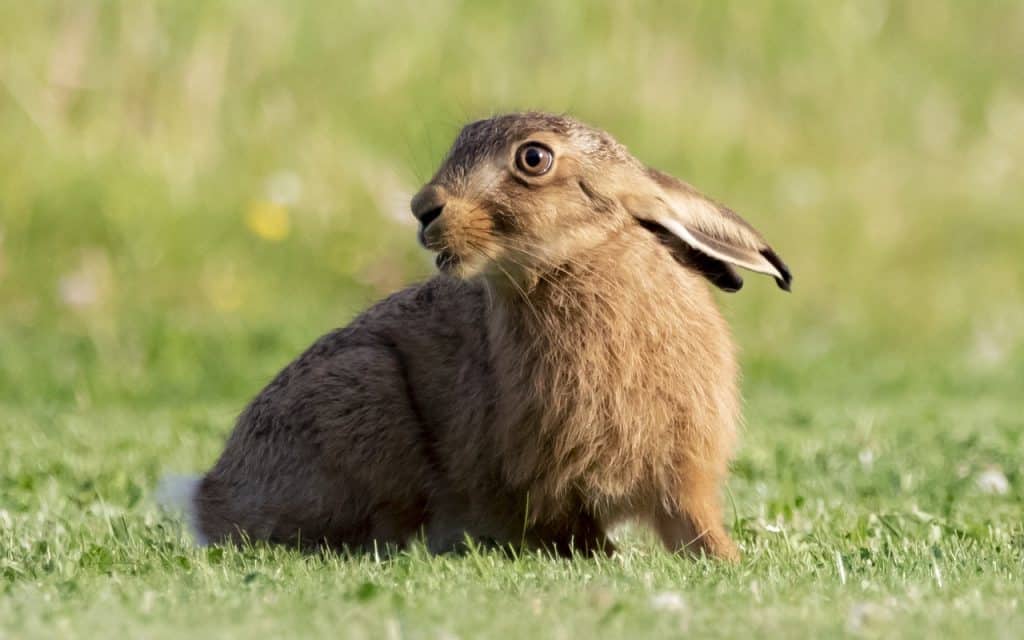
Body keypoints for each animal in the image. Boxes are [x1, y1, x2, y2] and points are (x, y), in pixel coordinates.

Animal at [160, 112, 791, 561]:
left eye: (533, 158)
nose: (423, 208)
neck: (576, 260)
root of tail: (208, 497)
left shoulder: (680, 474)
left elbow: (693, 526)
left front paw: (727, 559)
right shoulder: (545, 477)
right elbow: (574, 532)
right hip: (363, 394)